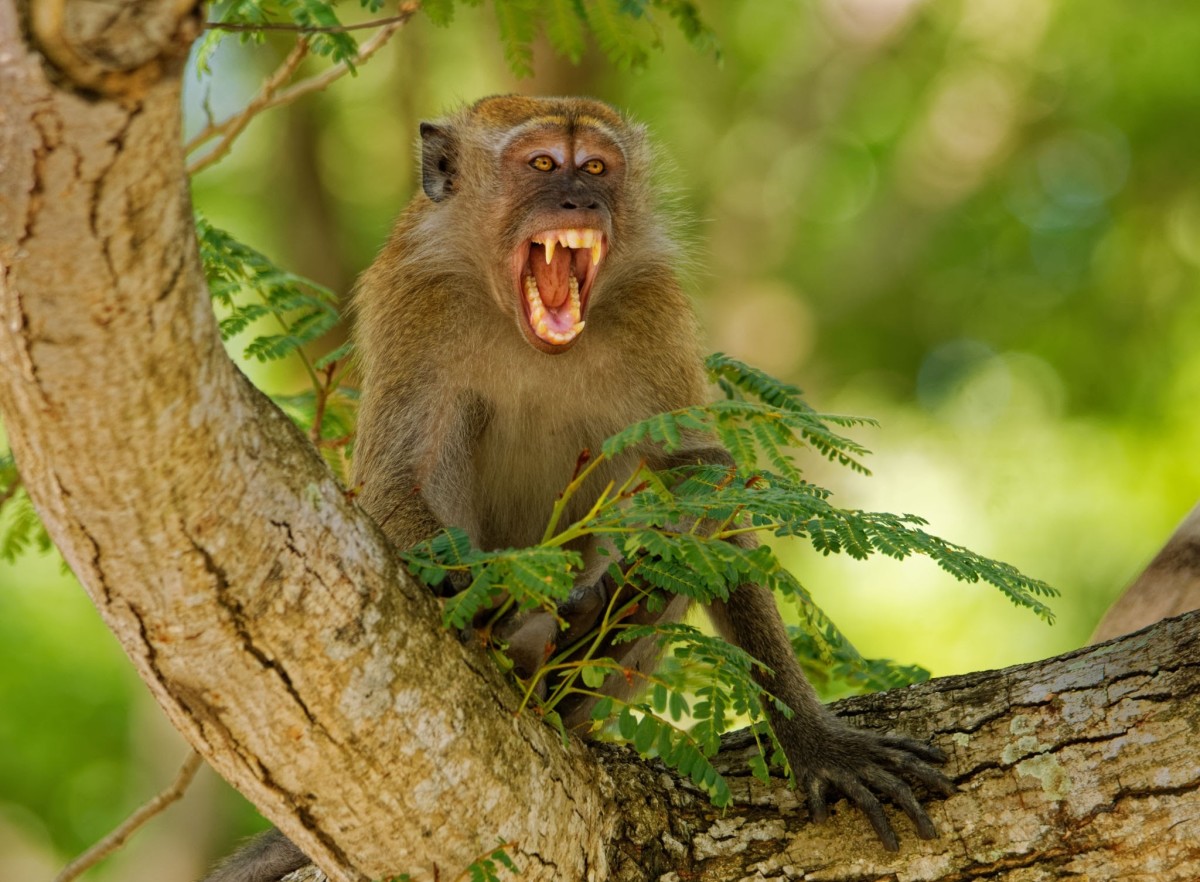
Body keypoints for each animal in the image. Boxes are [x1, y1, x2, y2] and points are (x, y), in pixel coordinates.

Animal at [202, 95, 953, 882]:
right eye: (542, 164)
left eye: (595, 167)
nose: (580, 200)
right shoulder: (414, 296)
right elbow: (396, 474)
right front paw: (479, 587)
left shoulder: (653, 310)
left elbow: (707, 482)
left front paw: (811, 738)